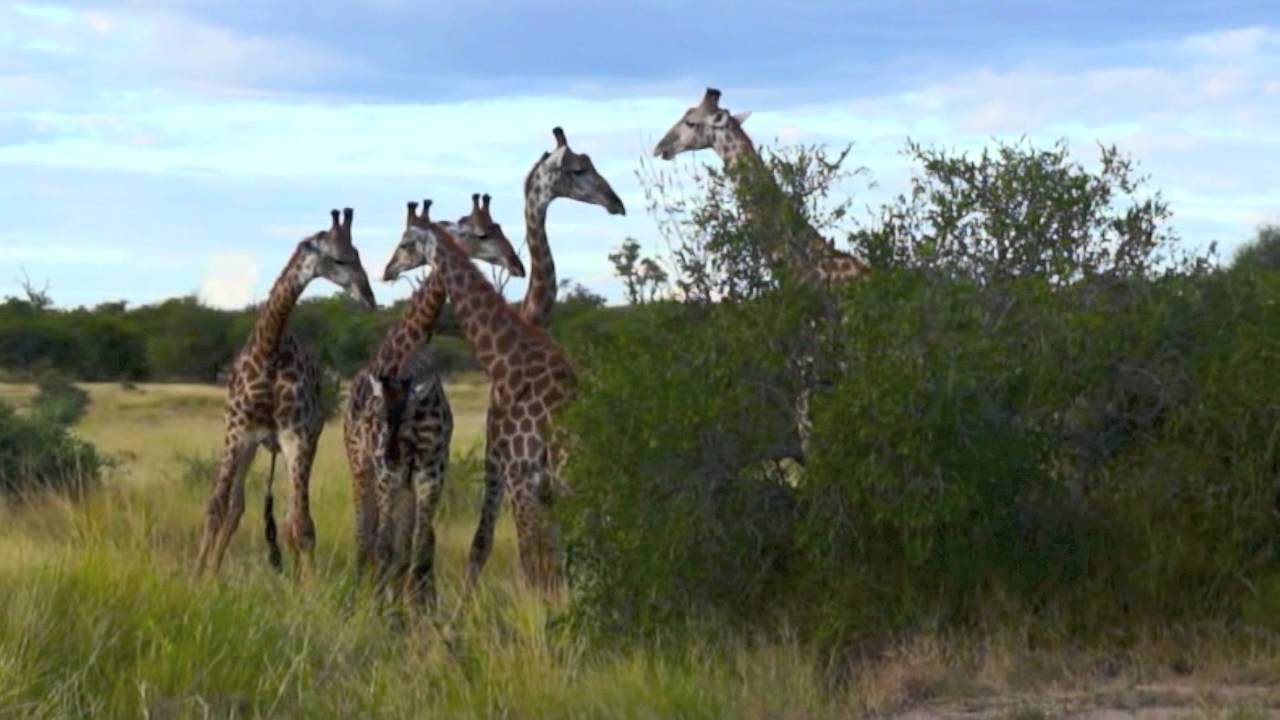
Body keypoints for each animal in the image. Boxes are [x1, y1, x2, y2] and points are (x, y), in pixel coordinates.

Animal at [194, 208, 377, 579]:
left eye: (358, 255)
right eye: (339, 258)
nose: (369, 297)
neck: (269, 351)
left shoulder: (297, 437)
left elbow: (303, 526)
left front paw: (309, 588)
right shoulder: (236, 433)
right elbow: (216, 508)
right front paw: (198, 576)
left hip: (304, 443)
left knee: (292, 518)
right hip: (253, 445)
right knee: (237, 507)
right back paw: (216, 571)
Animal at [344, 194, 525, 607]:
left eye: (498, 229)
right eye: (481, 233)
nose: (516, 265)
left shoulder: (429, 466)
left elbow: (421, 545)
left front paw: (419, 608)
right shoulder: (389, 465)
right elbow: (385, 543)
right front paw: (383, 607)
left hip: (405, 480)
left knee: (401, 539)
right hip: (361, 466)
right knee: (366, 533)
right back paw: (361, 590)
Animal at [393, 200, 577, 594]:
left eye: (406, 242)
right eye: (484, 232)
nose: (387, 270)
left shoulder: (526, 478)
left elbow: (537, 562)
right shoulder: (531, 483)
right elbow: (543, 563)